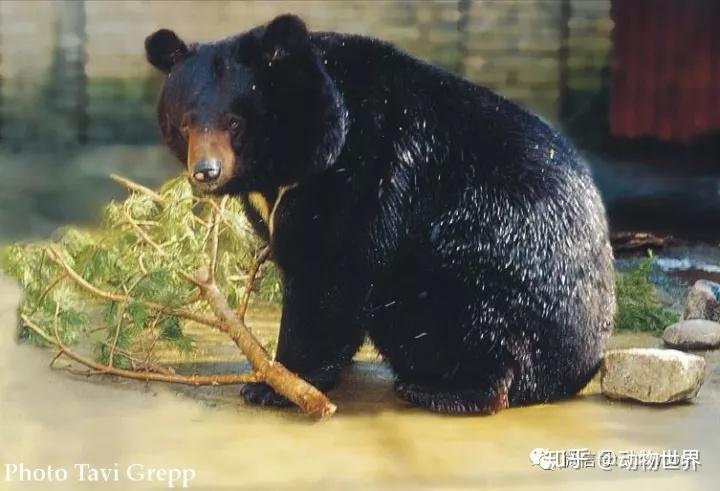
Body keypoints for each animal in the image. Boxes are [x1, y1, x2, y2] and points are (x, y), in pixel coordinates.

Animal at [145, 14, 615, 414]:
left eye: (234, 121)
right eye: (185, 123)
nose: (206, 172)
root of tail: (581, 367)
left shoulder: (367, 168)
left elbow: (332, 269)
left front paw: (275, 383)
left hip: (500, 256)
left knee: (483, 320)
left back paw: (442, 391)